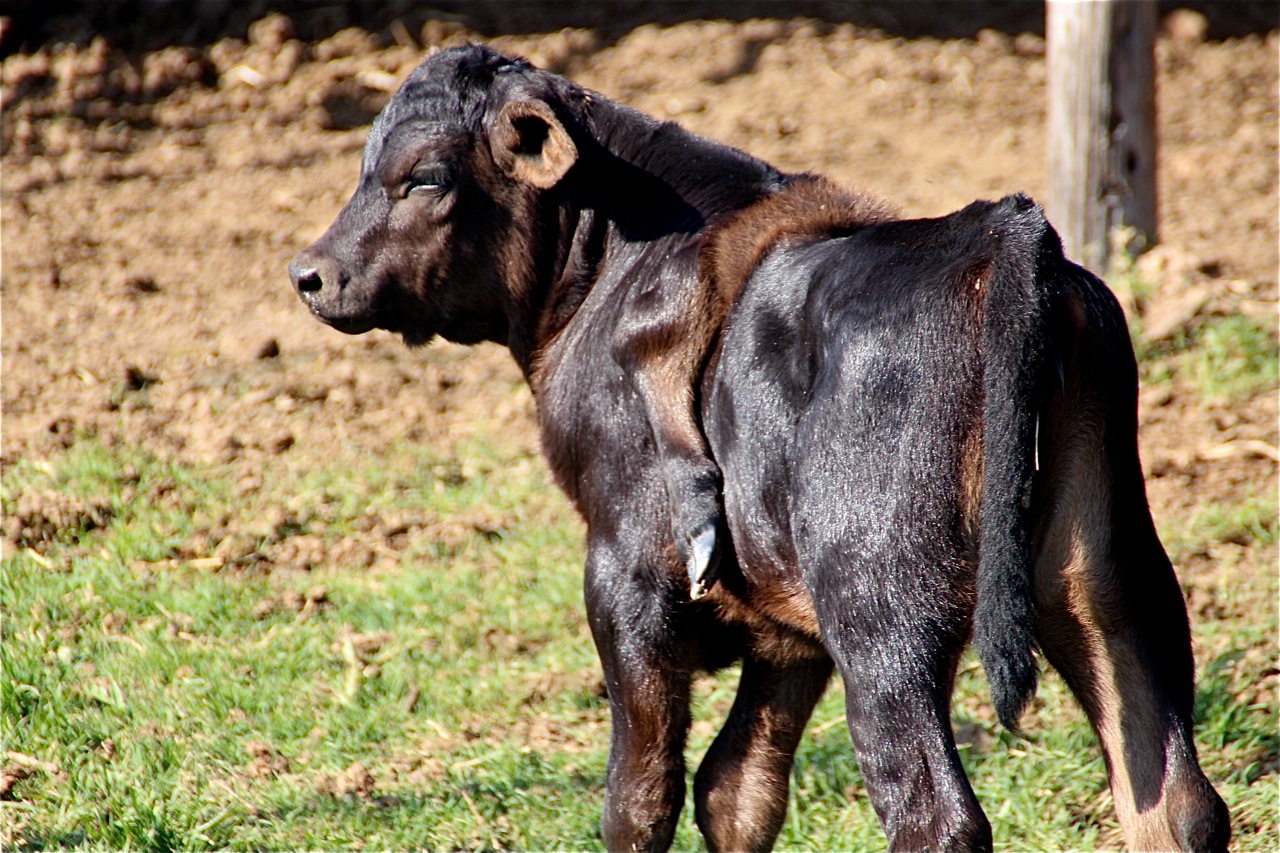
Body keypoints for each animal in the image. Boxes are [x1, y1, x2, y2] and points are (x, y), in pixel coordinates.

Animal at [288, 45, 1230, 852]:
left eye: (425, 176)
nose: (310, 273)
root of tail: (997, 233)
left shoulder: (627, 570)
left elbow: (641, 795)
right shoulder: (784, 626)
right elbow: (737, 791)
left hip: (879, 607)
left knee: (935, 814)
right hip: (1113, 582)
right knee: (1173, 799)